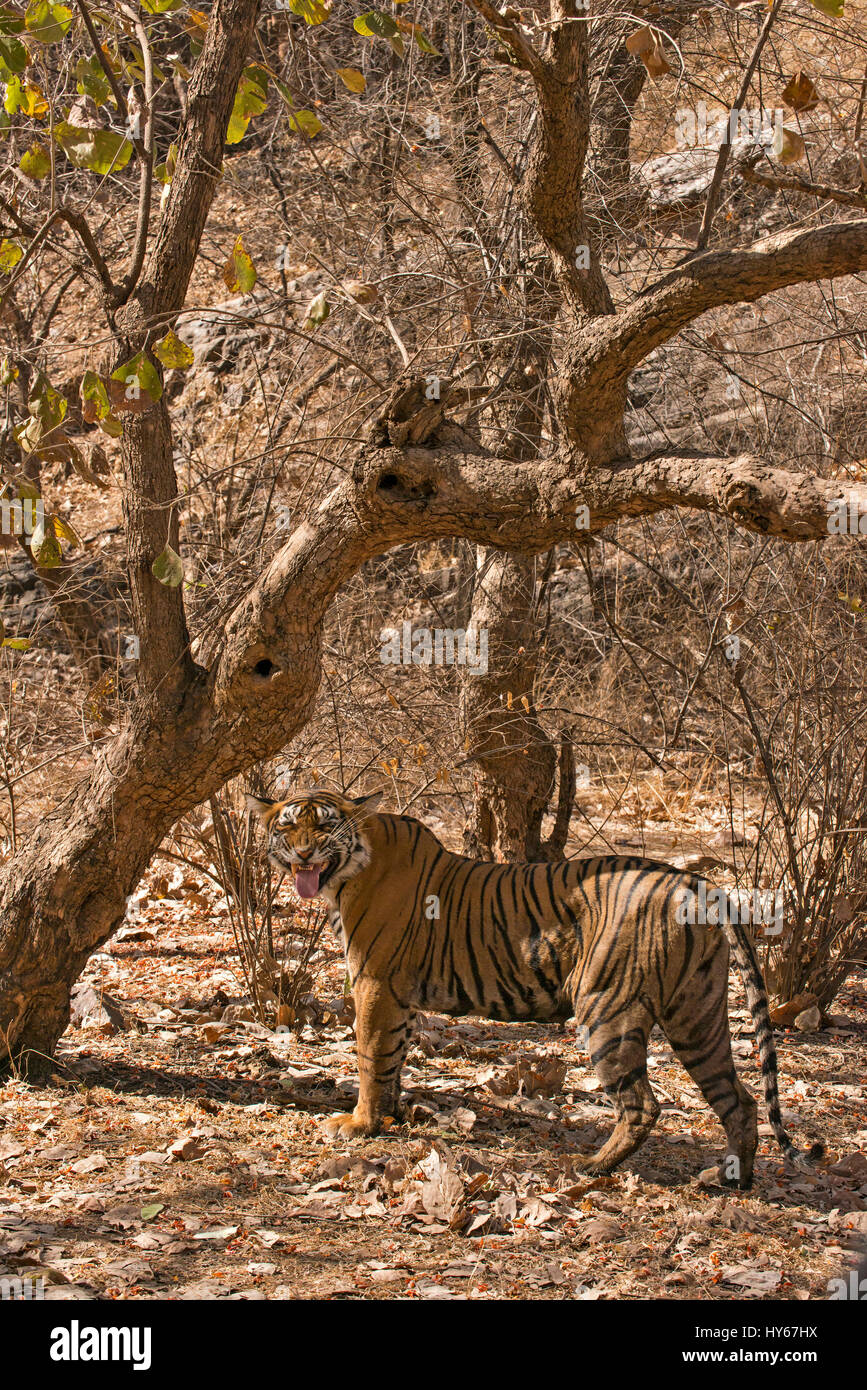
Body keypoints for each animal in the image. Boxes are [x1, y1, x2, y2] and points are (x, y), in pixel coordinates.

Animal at [246, 787, 823, 1187]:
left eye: (324, 830)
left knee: (642, 1104)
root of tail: (696, 881)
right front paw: (389, 1115)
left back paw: (589, 1167)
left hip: (606, 1009)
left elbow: (369, 1055)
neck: (348, 872)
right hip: (696, 1016)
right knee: (740, 1100)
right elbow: (393, 1058)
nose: (302, 856)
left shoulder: (374, 984)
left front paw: (360, 1124)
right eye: (288, 829)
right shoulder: (398, 998)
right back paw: (729, 1180)